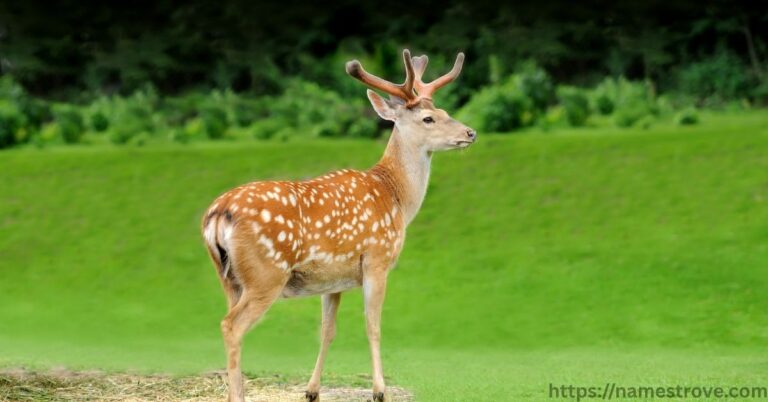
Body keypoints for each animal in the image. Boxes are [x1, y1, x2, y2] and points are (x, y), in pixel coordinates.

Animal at [201, 49, 476, 402]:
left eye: (444, 111)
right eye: (429, 119)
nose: (470, 133)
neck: (395, 197)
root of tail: (218, 214)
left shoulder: (333, 279)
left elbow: (327, 331)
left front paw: (312, 390)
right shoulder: (377, 259)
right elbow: (373, 325)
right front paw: (379, 390)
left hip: (229, 277)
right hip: (266, 273)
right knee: (231, 326)